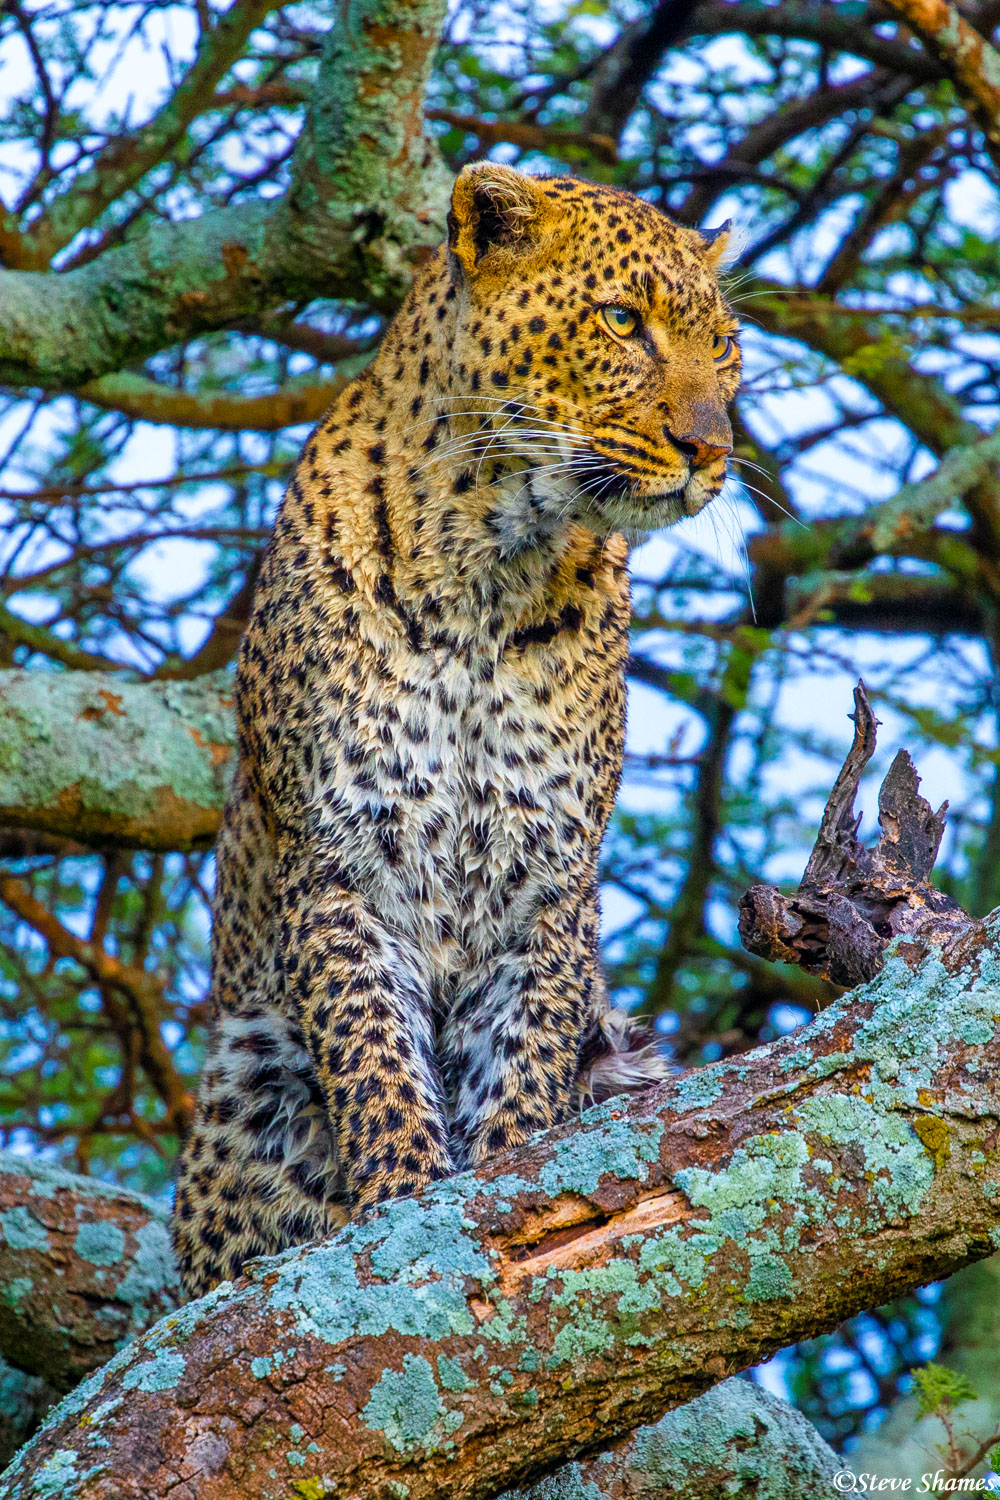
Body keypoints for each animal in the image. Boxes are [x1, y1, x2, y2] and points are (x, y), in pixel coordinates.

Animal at [172, 163, 742, 1297]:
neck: (496, 571)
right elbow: (374, 1056)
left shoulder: (546, 877)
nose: (712, 449)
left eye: (727, 348)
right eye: (623, 321)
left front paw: (520, 1201)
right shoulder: (344, 861)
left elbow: (522, 1056)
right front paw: (401, 1202)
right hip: (246, 1077)